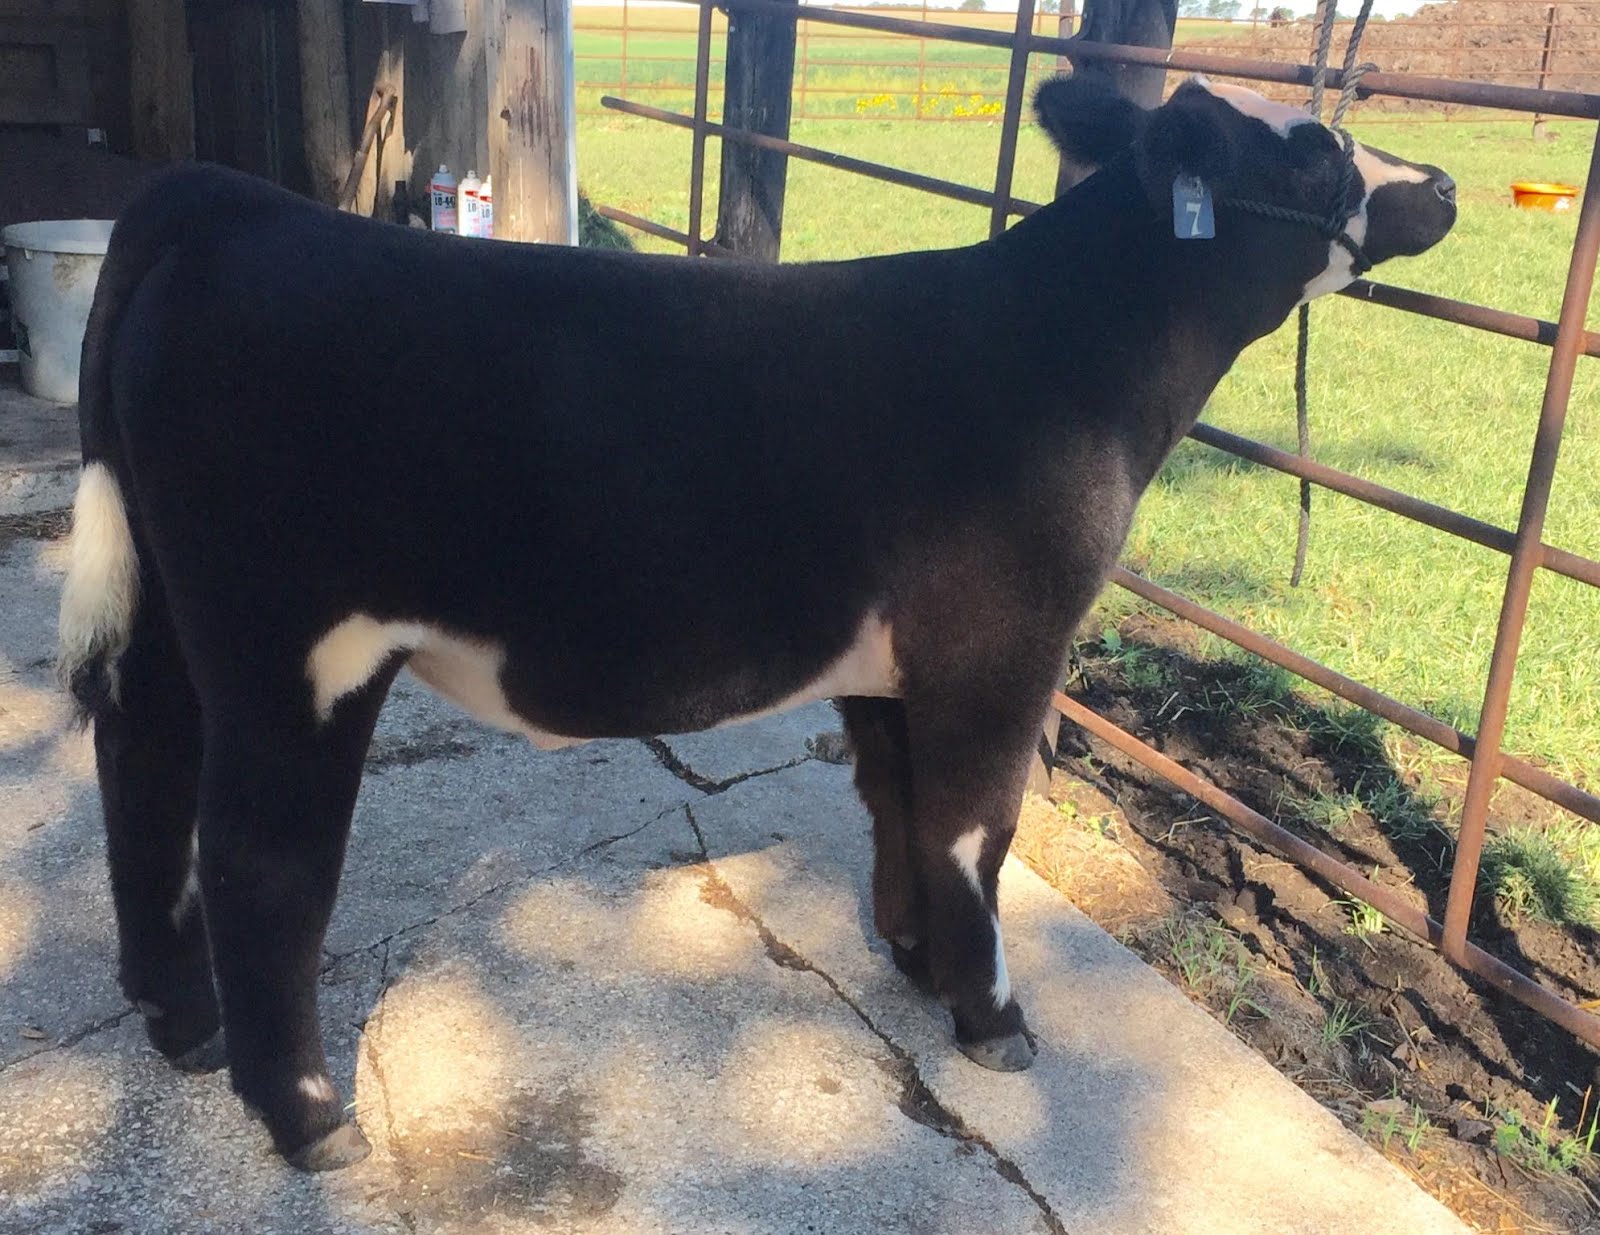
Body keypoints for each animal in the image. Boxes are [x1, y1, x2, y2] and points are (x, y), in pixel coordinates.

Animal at [56, 75, 1455, 1171]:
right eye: (1314, 150)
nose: (1439, 179)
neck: (1065, 352)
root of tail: (232, 205)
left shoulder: (892, 660)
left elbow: (898, 802)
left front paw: (914, 958)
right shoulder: (1001, 643)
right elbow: (975, 823)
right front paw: (994, 1019)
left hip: (175, 616)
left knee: (140, 759)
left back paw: (179, 1017)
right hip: (290, 648)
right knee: (259, 856)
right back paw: (303, 1114)